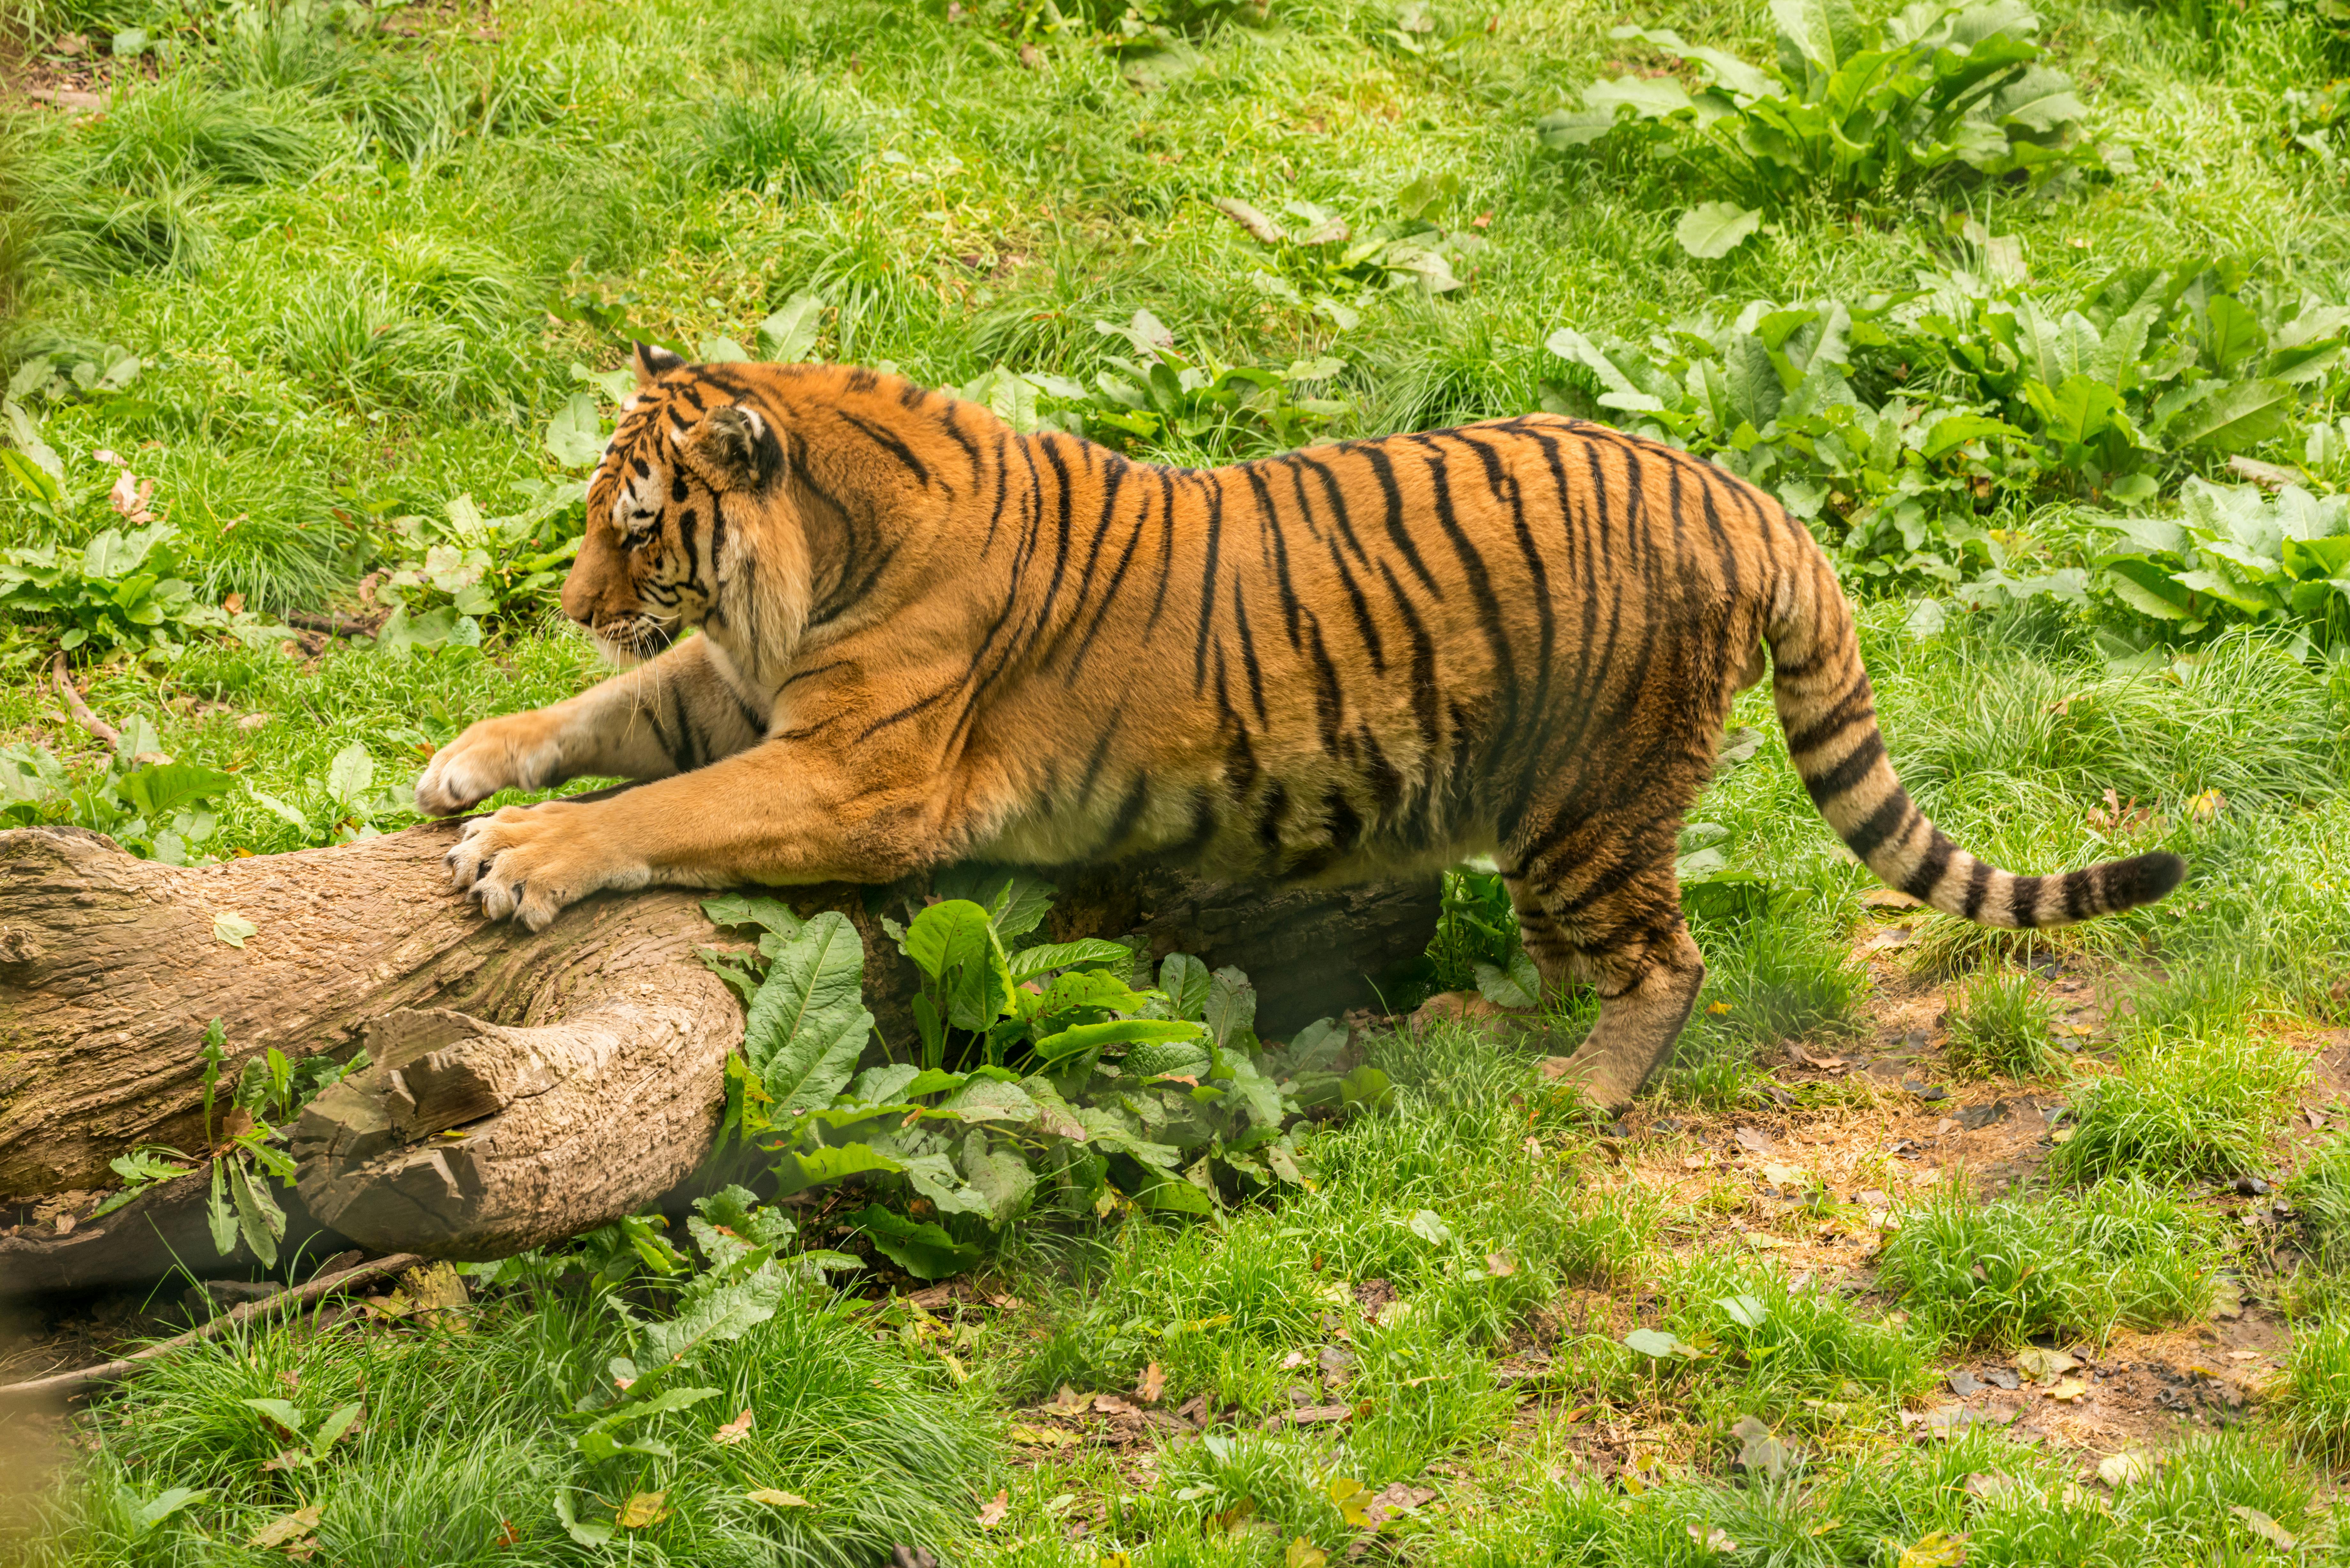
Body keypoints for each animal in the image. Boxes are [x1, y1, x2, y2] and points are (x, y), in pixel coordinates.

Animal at [415, 344, 2185, 1111]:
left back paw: (1582, 1092)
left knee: (1663, 959)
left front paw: (523, 852)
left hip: (1589, 803)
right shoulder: (742, 687)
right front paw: (469, 761)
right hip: (1547, 821)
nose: (572, 592)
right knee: (1582, 952)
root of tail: (1743, 495)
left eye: (636, 523)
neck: (818, 565)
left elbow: (660, 807)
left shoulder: (856, 771)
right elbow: (610, 711)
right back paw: (1475, 1027)